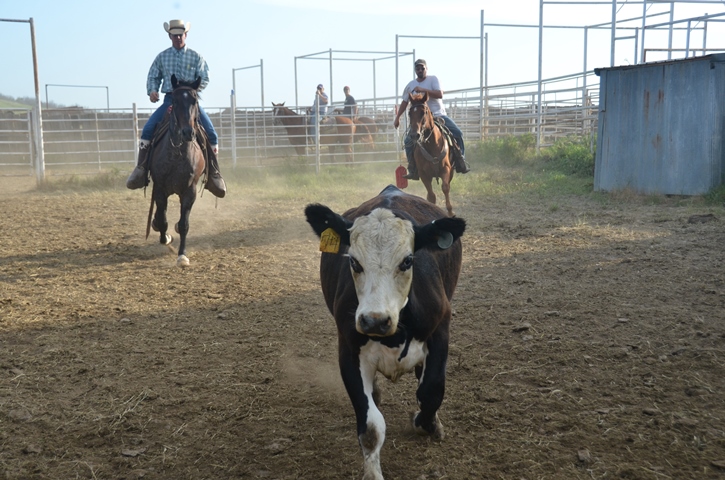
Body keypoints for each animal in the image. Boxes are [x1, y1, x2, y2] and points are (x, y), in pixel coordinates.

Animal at [304, 185, 466, 480]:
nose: (374, 321)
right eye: (354, 261)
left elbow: (431, 390)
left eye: (407, 260)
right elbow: (370, 428)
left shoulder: (441, 330)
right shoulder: (349, 350)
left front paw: (425, 422)